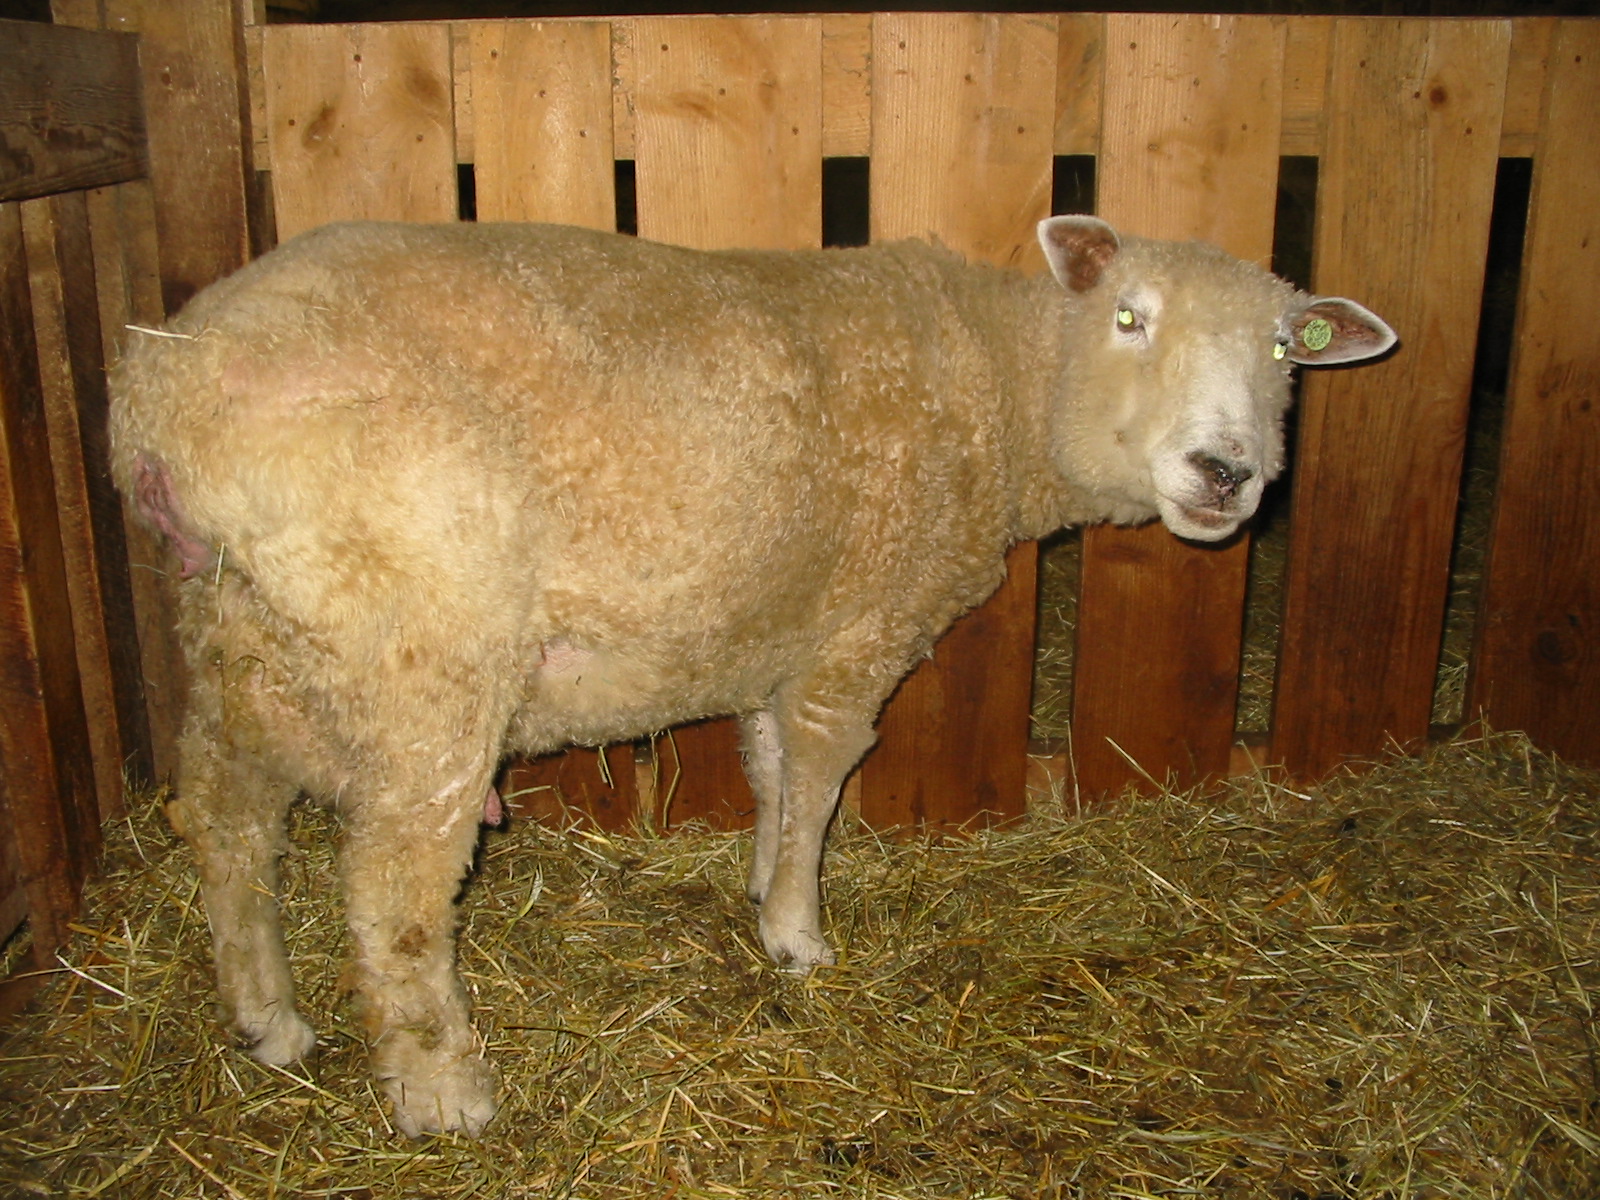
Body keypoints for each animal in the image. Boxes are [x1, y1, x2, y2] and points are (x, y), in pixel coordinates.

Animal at [109, 215, 1395, 1137]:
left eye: (1283, 354)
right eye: (1130, 317)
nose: (1226, 472)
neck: (1006, 387)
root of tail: (163, 401)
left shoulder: (784, 634)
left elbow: (774, 776)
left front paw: (760, 884)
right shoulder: (857, 632)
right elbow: (822, 779)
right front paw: (797, 933)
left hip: (245, 639)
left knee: (223, 820)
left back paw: (269, 1021)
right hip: (422, 651)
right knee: (395, 896)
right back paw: (444, 1095)